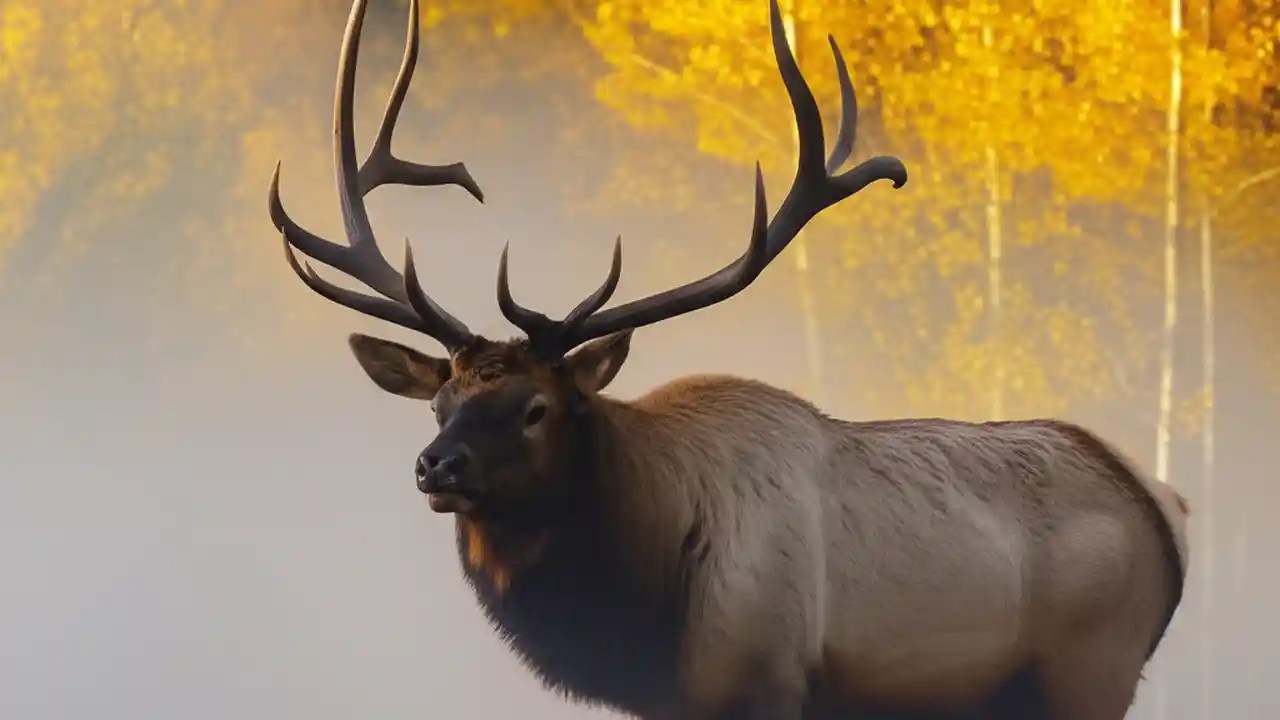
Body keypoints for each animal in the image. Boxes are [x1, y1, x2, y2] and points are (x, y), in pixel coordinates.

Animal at [266, 0, 1190, 718]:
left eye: (536, 408)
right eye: (439, 400)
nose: (437, 465)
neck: (639, 619)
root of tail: (1165, 509)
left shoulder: (766, 678)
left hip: (1089, 669)